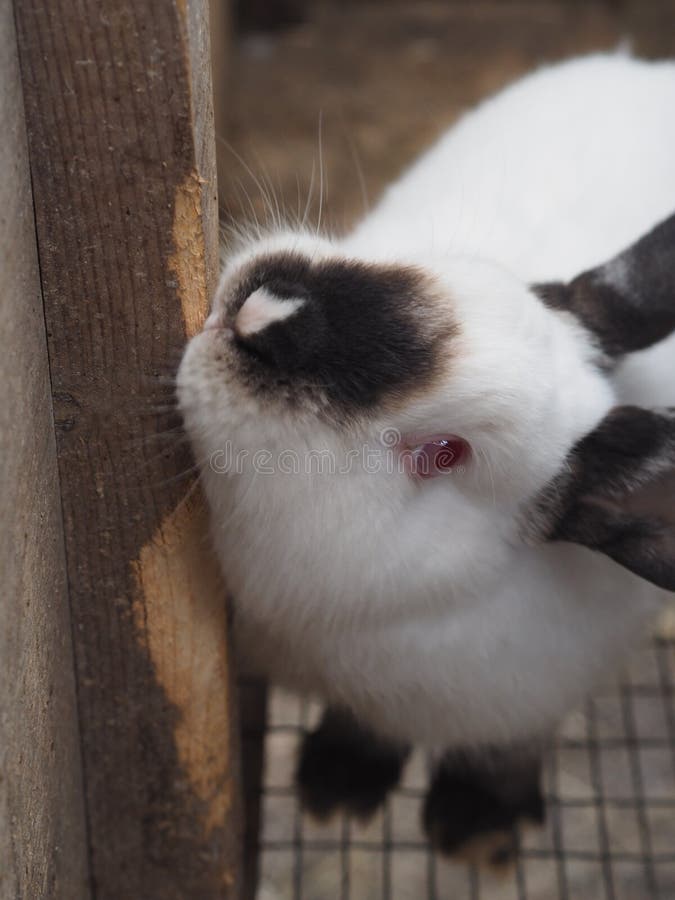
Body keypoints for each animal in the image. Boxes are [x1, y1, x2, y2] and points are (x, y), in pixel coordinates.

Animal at [178, 53, 675, 866]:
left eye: (444, 454)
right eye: (470, 279)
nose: (269, 314)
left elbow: (505, 750)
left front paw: (469, 828)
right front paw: (336, 788)